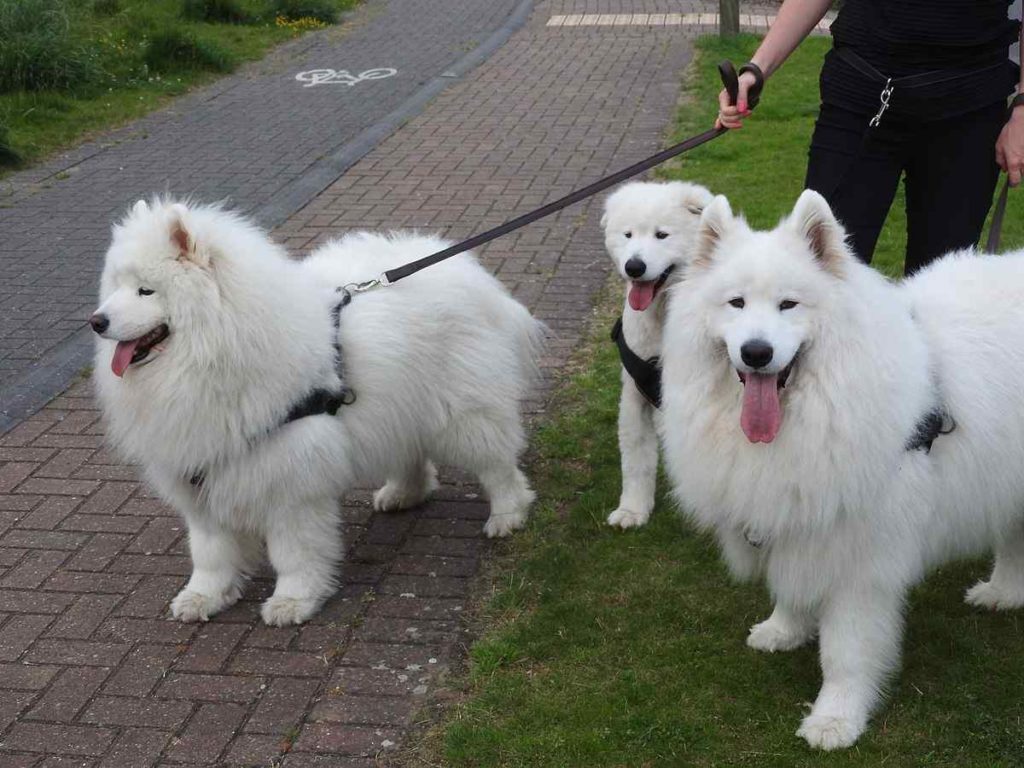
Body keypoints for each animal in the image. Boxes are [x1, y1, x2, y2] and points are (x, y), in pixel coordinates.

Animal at [90, 198, 544, 626]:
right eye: (116, 286)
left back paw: (507, 516)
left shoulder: (292, 482)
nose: (96, 321)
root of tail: (470, 273)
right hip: (398, 407)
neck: (212, 350)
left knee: (499, 468)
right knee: (412, 454)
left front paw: (293, 601)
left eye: (146, 291)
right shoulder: (201, 474)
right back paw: (403, 493)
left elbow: (294, 553)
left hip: (463, 416)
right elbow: (210, 553)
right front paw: (204, 596)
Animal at [598, 182, 712, 528]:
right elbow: (636, 459)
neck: (662, 316)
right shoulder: (634, 396)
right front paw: (633, 509)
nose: (634, 267)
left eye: (662, 235)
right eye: (628, 235)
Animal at [655, 191, 1024, 753]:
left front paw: (836, 719)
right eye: (736, 303)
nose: (756, 352)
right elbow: (789, 587)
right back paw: (1004, 592)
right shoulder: (794, 519)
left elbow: (845, 652)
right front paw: (784, 629)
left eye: (789, 305)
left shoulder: (861, 563)